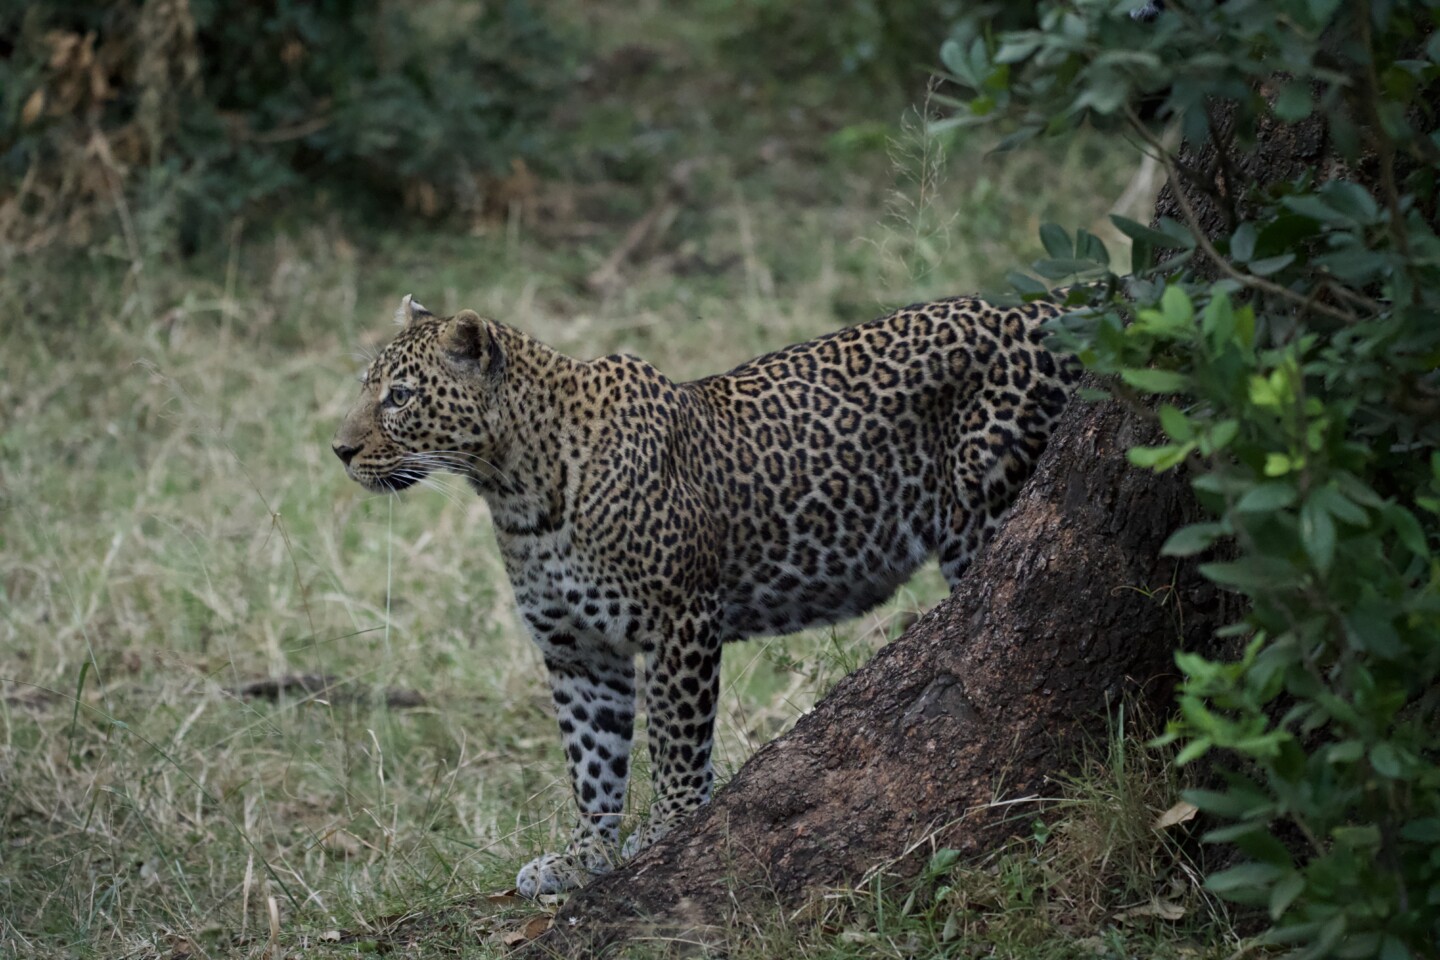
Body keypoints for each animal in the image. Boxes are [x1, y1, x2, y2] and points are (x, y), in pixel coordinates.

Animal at [332, 293, 1078, 897]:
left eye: (399, 396)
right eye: (369, 388)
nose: (338, 449)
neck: (517, 488)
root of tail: (1041, 308)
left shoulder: (679, 620)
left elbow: (676, 739)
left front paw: (670, 826)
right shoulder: (578, 653)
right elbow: (591, 760)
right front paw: (581, 857)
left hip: (986, 514)